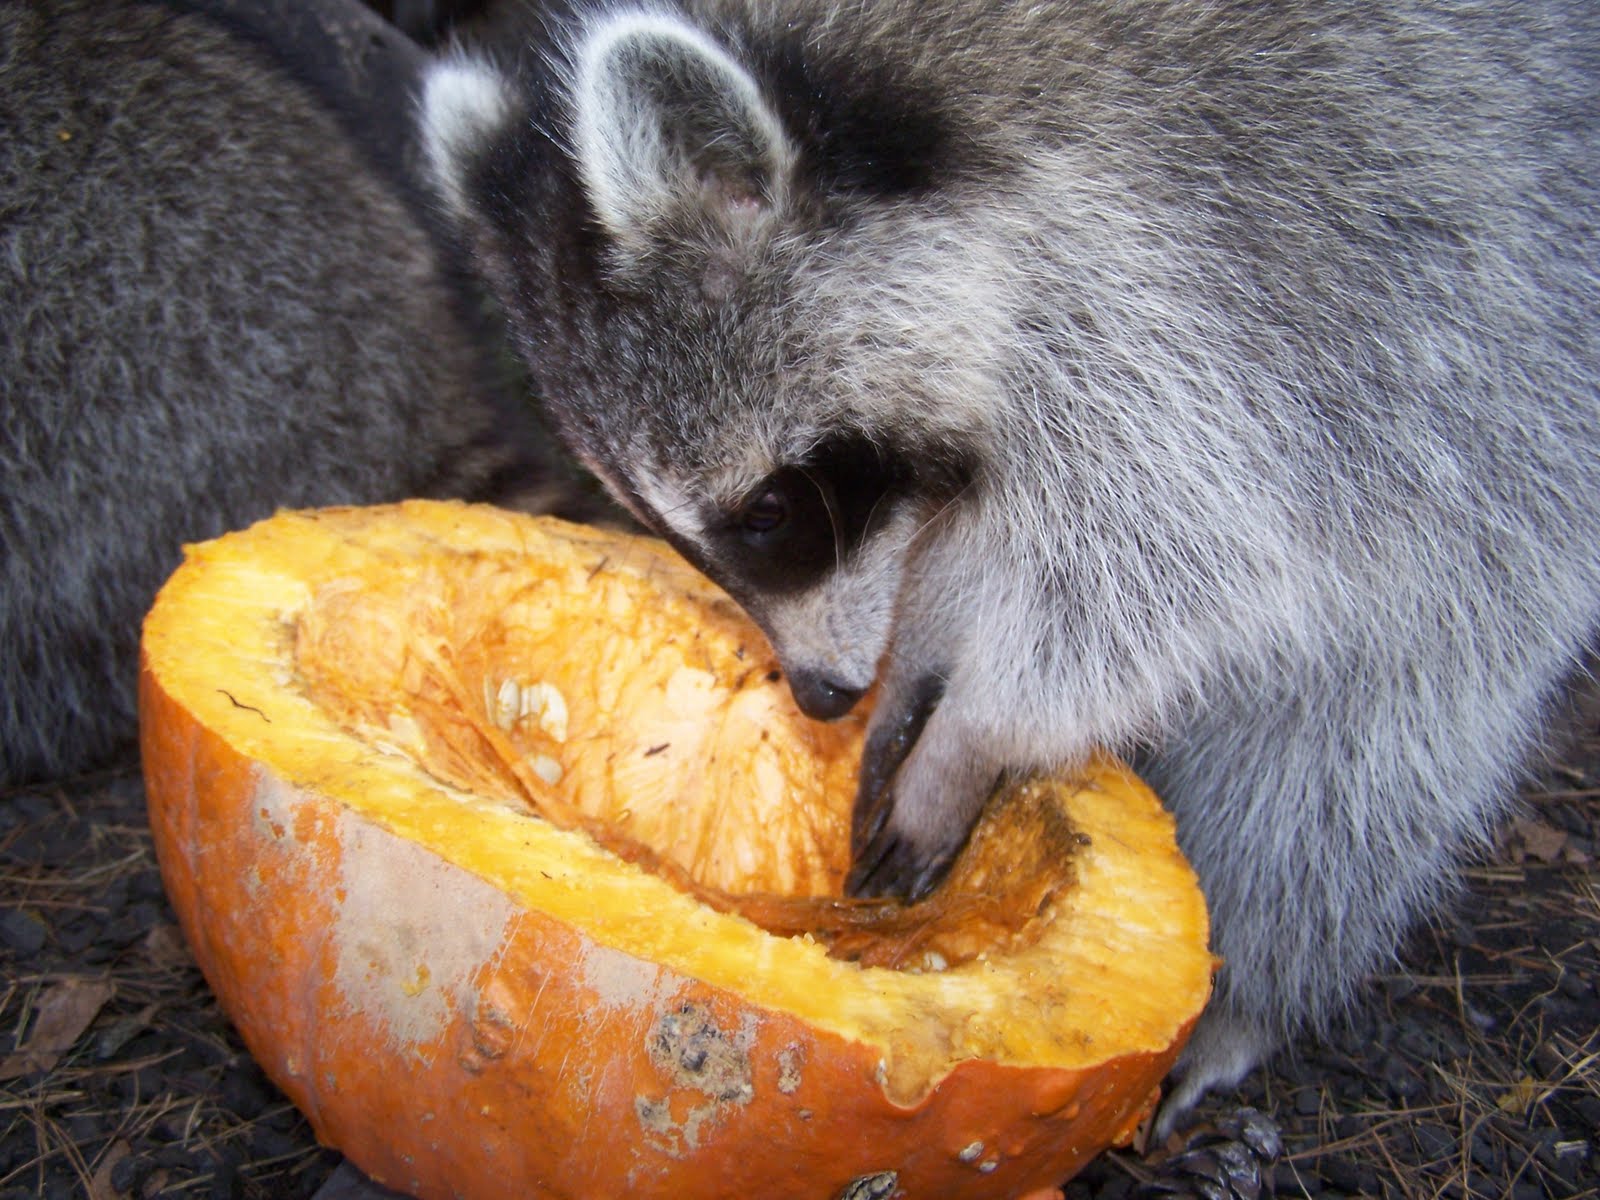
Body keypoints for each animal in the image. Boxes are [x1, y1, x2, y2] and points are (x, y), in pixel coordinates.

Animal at [420, 0, 1600, 1125]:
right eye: (667, 528)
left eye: (768, 511)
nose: (819, 694)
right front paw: (916, 668)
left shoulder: (1206, 296)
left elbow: (1170, 565)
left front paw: (975, 731)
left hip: (1497, 430)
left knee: (1365, 744)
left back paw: (1258, 983)